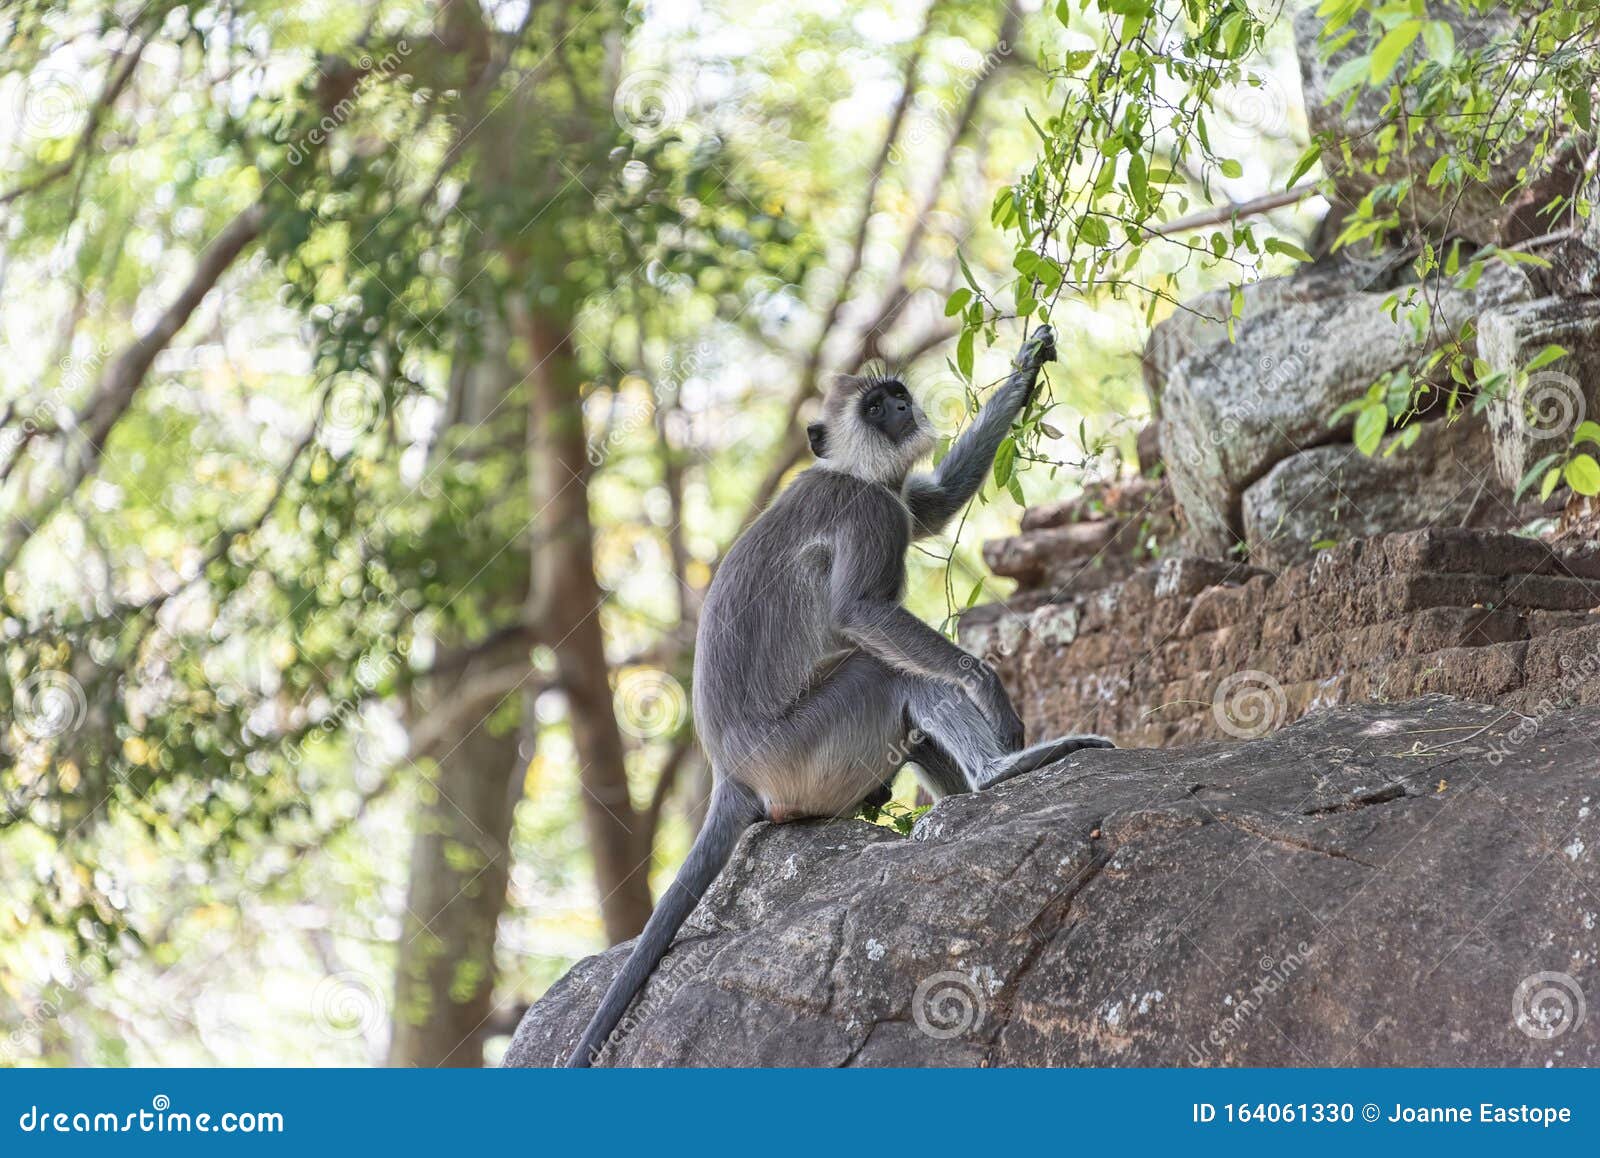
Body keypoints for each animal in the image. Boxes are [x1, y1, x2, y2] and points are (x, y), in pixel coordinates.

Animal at [566, 325, 1113, 1067]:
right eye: (876, 407)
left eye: (896, 394)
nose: (902, 409)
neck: (848, 471)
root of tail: (731, 773)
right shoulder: (865, 510)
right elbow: (860, 612)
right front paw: (984, 683)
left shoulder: (889, 495)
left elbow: (933, 503)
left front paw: (1027, 365)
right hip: (806, 751)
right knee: (887, 673)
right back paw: (1001, 772)